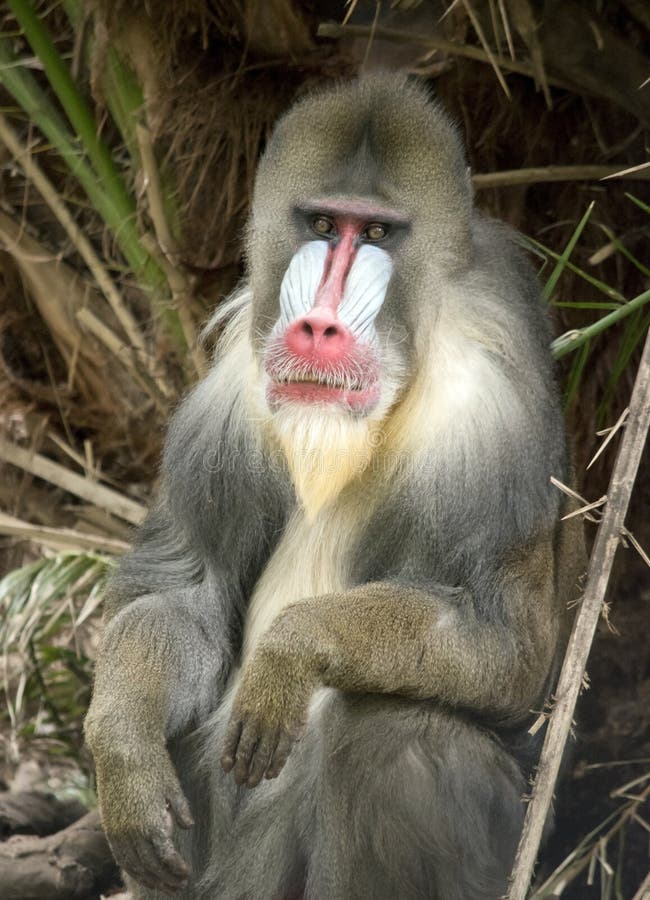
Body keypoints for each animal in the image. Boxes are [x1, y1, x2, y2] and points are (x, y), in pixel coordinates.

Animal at [84, 75, 585, 900]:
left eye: (376, 234)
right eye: (322, 225)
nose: (317, 328)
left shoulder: (488, 429)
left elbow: (508, 647)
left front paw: (296, 649)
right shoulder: (227, 401)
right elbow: (183, 592)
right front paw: (124, 753)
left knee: (391, 732)